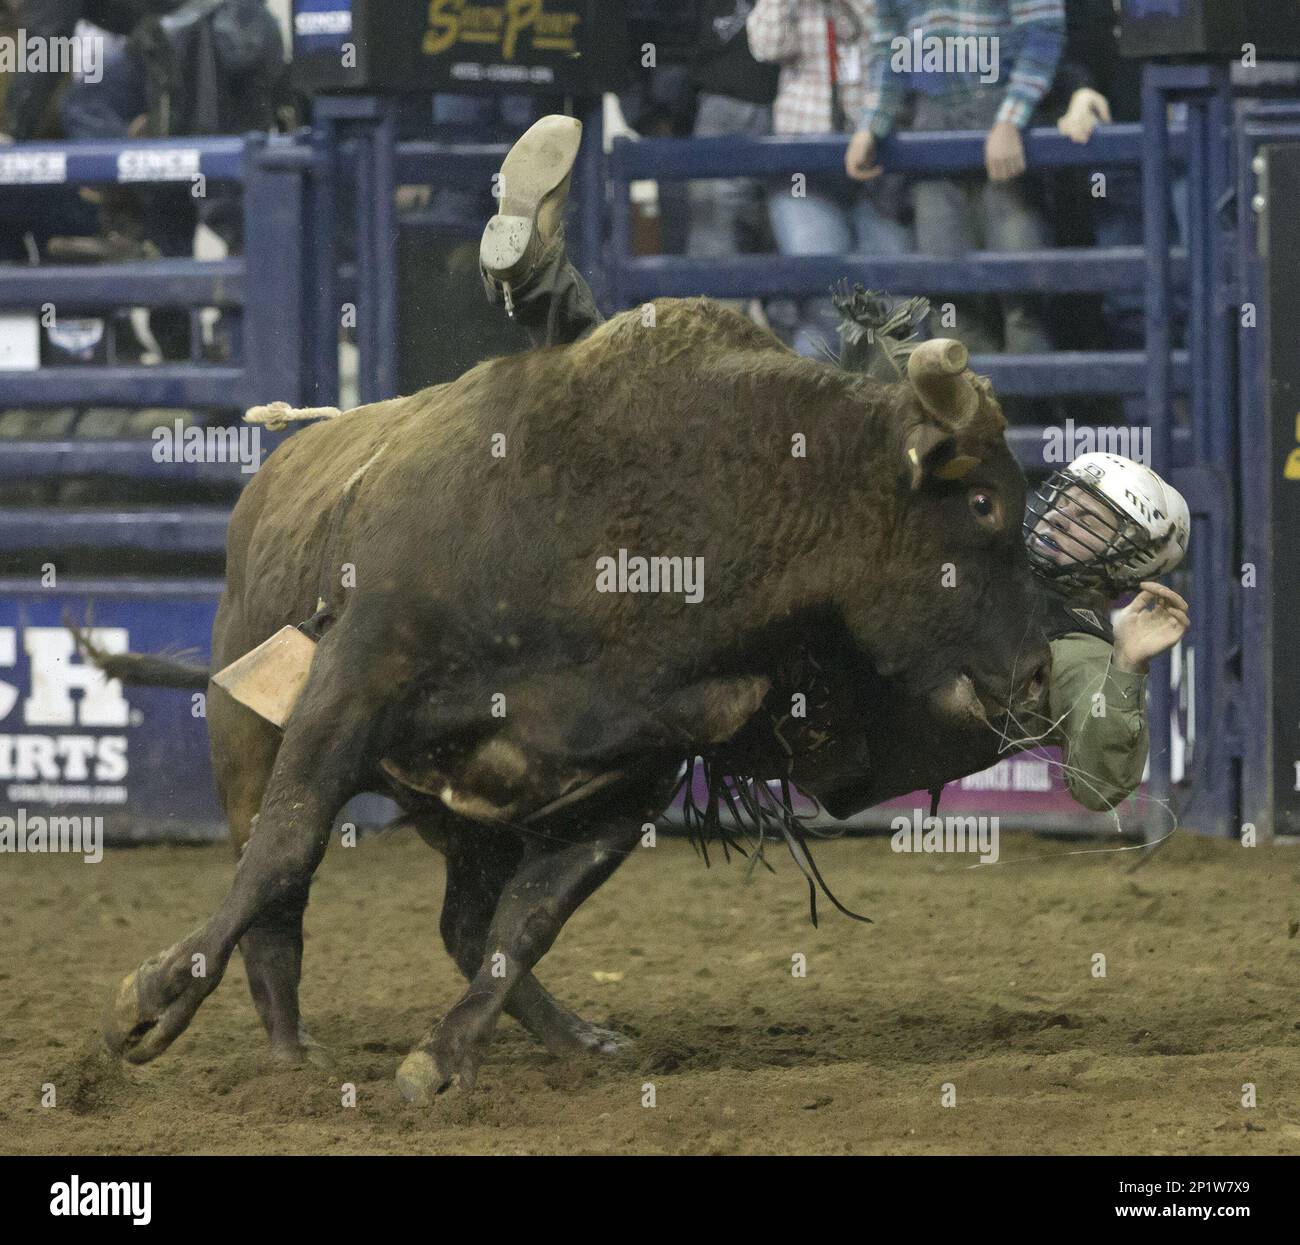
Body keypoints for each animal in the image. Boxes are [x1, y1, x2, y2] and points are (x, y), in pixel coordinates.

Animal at [94, 296, 1050, 1100]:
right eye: (983, 501)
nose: (1040, 670)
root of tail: (272, 476)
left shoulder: (627, 783)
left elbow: (527, 922)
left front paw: (442, 1058)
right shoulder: (352, 679)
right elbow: (284, 850)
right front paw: (149, 1000)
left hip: (463, 814)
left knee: (465, 923)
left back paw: (574, 1037)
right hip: (244, 734)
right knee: (275, 893)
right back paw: (289, 1052)